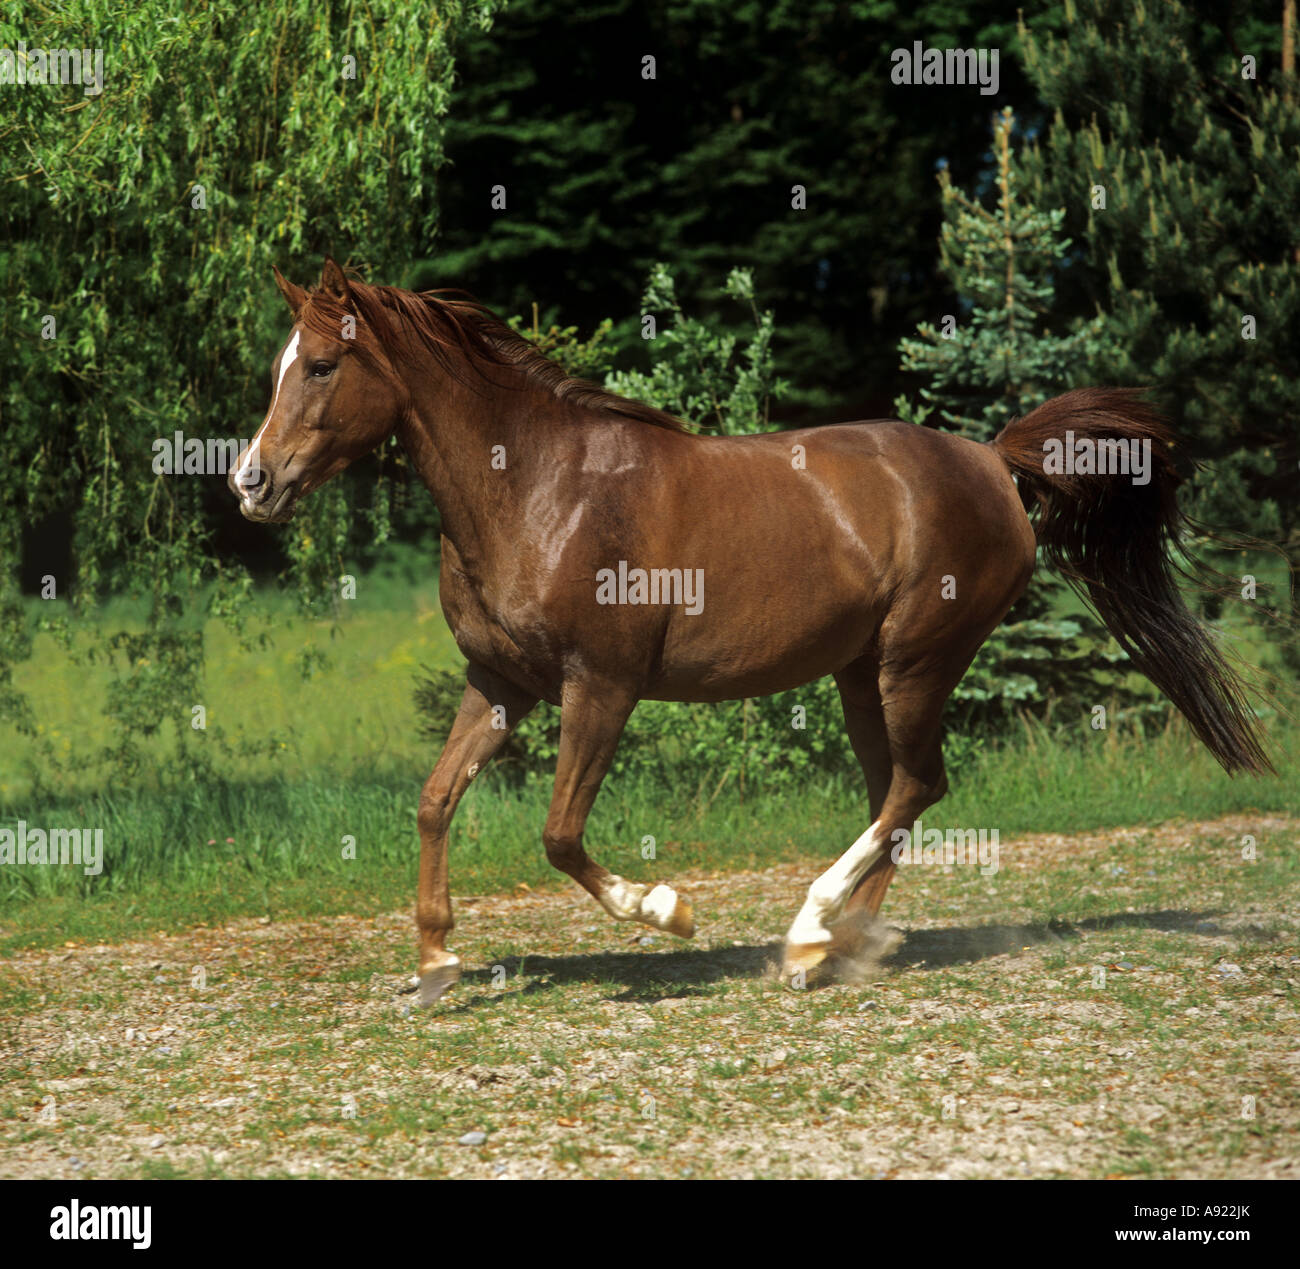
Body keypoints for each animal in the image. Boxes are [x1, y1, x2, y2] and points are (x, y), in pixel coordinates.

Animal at [229, 257, 1271, 1005]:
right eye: (281, 366)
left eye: (321, 365)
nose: (250, 482)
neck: (538, 487)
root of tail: (992, 461)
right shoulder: (501, 683)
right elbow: (436, 800)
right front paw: (437, 965)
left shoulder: (600, 685)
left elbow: (560, 835)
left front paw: (667, 910)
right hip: (860, 674)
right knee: (897, 792)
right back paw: (840, 950)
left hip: (914, 661)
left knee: (915, 785)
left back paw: (812, 933)